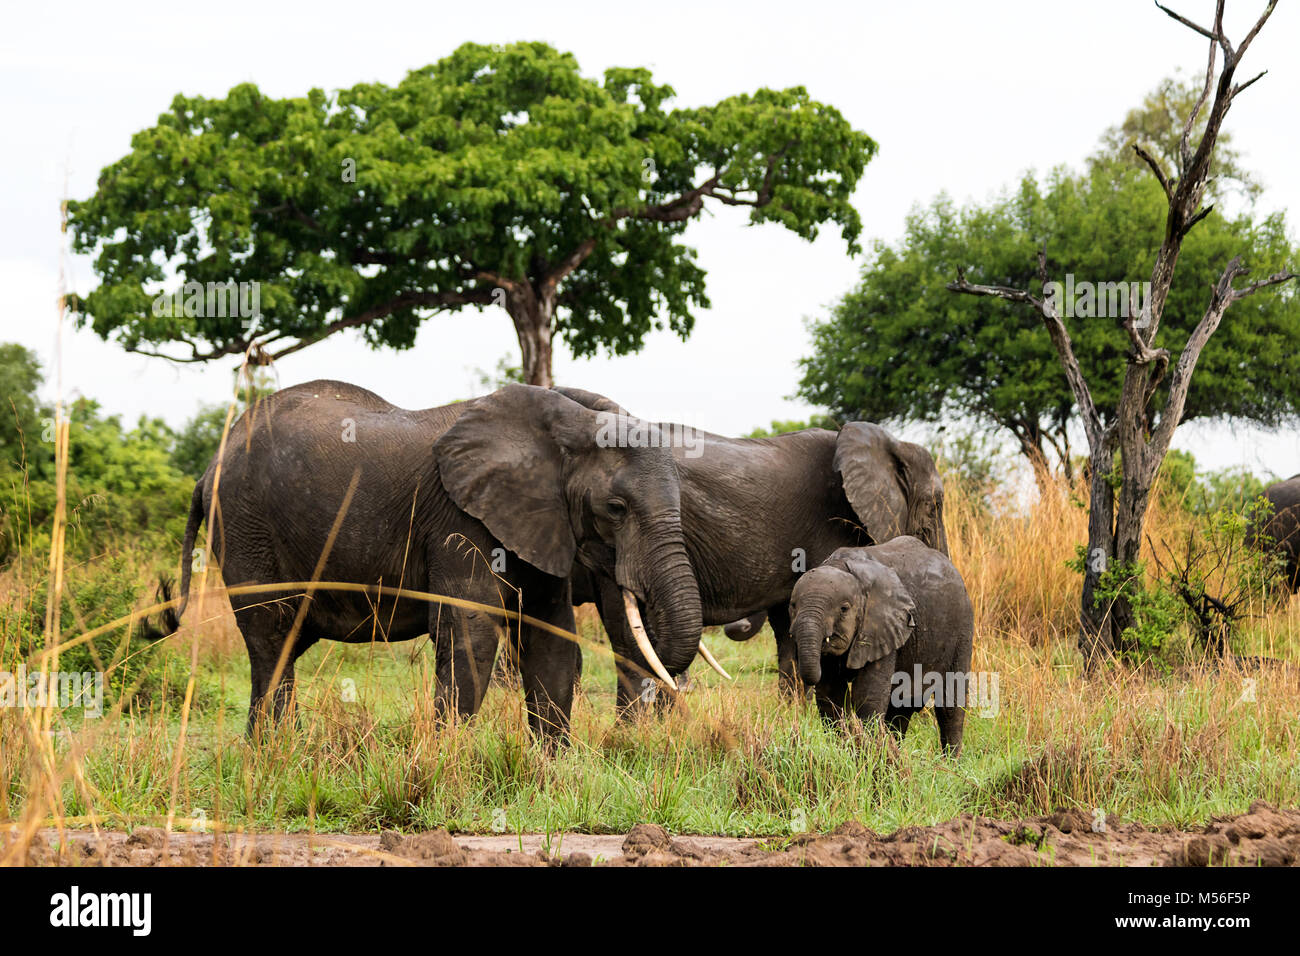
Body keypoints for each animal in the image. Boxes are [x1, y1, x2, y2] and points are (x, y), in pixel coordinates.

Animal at [145, 381, 702, 742]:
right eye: (617, 508)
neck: (567, 418)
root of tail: (207, 469)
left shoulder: (539, 524)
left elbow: (551, 637)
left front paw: (551, 772)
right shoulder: (461, 518)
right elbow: (472, 631)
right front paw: (449, 763)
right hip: (245, 526)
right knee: (271, 637)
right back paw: (274, 753)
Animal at [788, 536, 974, 756]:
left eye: (844, 609)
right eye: (792, 606)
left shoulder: (882, 626)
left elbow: (867, 697)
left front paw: (866, 755)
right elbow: (831, 696)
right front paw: (847, 752)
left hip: (962, 627)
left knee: (949, 704)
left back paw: (950, 761)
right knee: (901, 705)